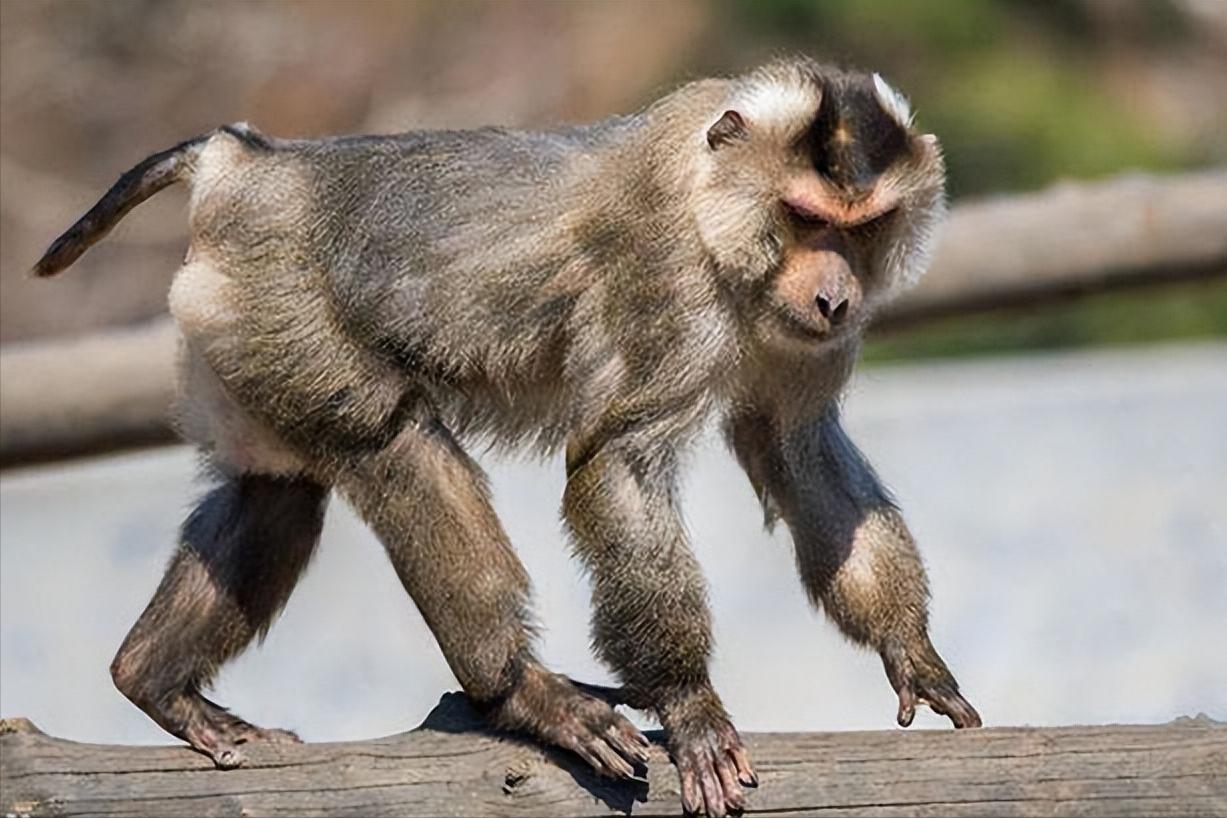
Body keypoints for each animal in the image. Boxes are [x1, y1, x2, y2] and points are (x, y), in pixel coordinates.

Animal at [34, 57, 980, 817]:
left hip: (232, 318)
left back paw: (155, 682)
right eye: (802, 216)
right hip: (273, 295)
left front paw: (909, 647)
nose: (834, 295)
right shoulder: (664, 275)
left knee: (278, 487)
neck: (719, 217)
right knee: (392, 441)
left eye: (860, 227)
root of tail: (247, 162)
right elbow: (617, 461)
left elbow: (796, 446)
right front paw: (687, 701)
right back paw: (516, 690)